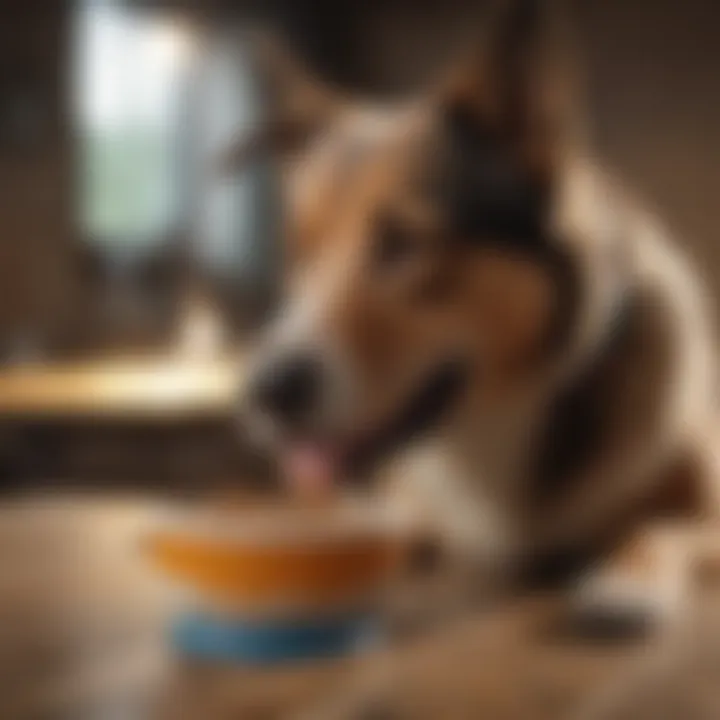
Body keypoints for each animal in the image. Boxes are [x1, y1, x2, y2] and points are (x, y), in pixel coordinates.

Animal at [228, 1, 716, 636]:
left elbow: (661, 527)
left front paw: (628, 581)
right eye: (298, 254)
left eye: (404, 243)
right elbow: (374, 530)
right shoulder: (400, 506)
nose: (266, 393)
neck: (496, 417)